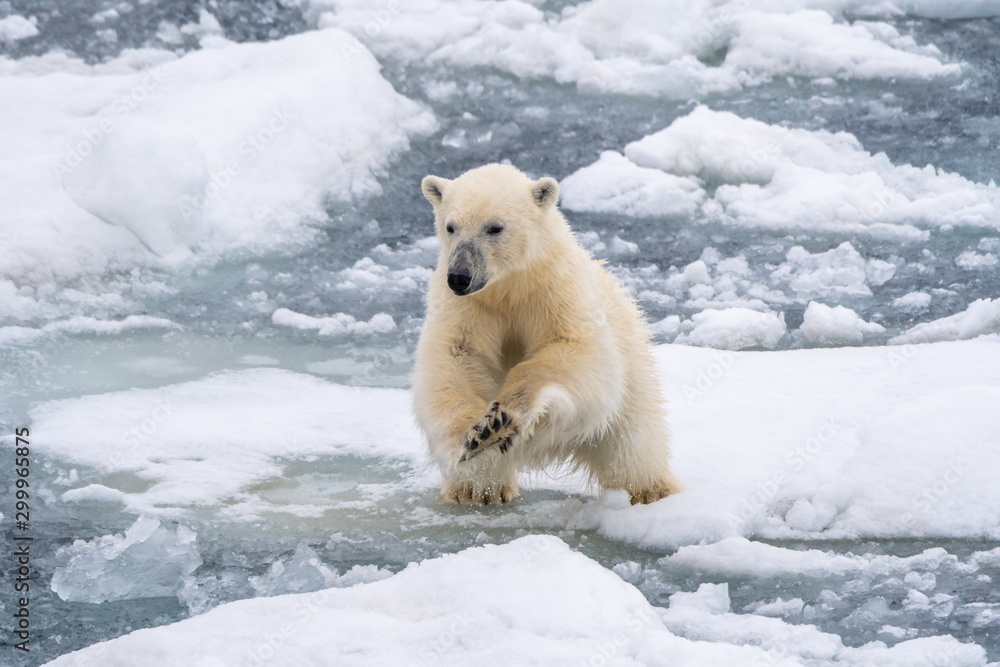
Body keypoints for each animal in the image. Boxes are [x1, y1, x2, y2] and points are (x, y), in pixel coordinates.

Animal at [411, 163, 680, 506]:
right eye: (451, 227)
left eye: (494, 228)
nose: (460, 276)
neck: (509, 287)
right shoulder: (469, 307)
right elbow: (456, 358)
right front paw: (476, 436)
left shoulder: (556, 290)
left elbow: (576, 351)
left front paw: (501, 420)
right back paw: (475, 491)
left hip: (633, 369)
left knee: (633, 446)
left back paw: (651, 492)